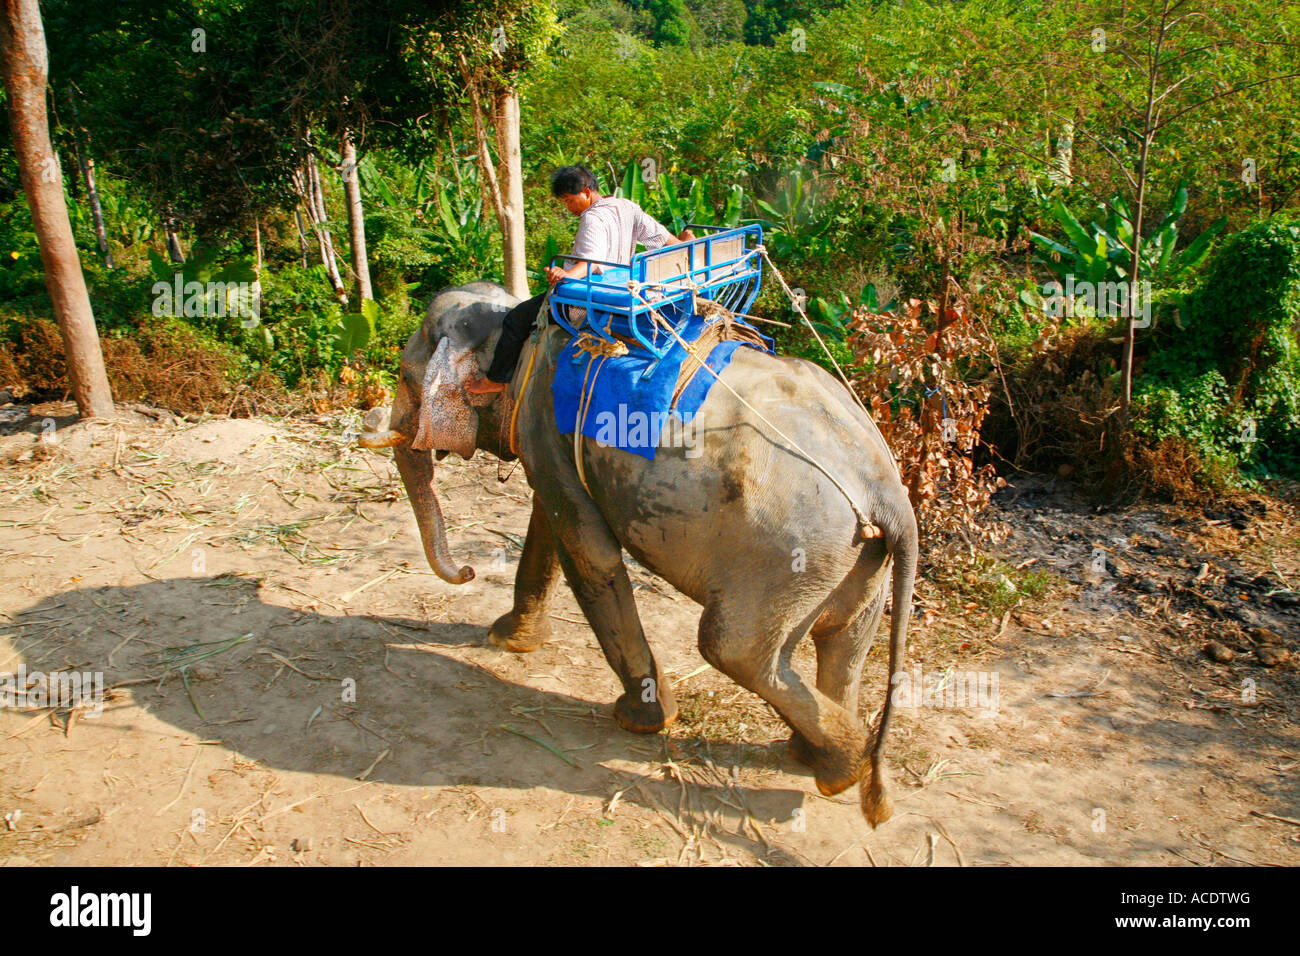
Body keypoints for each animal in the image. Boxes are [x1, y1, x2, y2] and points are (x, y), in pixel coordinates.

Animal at [359, 281, 918, 827]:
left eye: (406, 380)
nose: (469, 571)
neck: (521, 329)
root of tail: (886, 490)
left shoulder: (543, 422)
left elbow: (590, 553)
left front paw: (641, 720)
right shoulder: (553, 445)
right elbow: (549, 529)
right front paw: (508, 640)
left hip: (791, 553)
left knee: (733, 648)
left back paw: (842, 769)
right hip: (855, 560)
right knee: (843, 642)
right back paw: (817, 758)